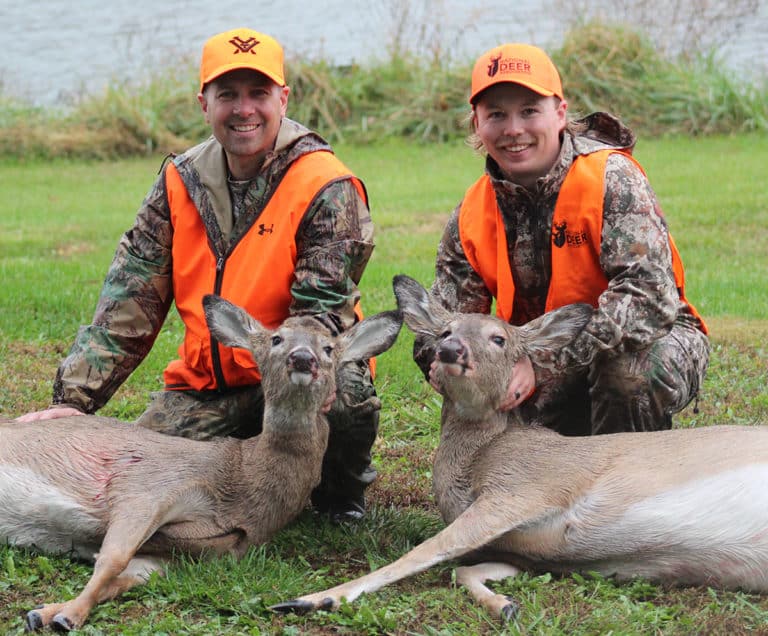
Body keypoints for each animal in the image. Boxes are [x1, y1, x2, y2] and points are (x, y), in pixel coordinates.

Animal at [0, 294, 402, 632]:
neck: (240, 480)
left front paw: (48, 612)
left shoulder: (183, 555)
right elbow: (112, 559)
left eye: (329, 347)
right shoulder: (149, 485)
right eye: (277, 339)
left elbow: (121, 578)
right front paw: (66, 615)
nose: (303, 358)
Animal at [272, 274, 768, 623]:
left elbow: (425, 551)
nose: (452, 349)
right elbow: (462, 569)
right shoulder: (528, 553)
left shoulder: (527, 488)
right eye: (447, 329)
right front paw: (505, 606)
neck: (477, 462)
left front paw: (309, 599)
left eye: (499, 338)